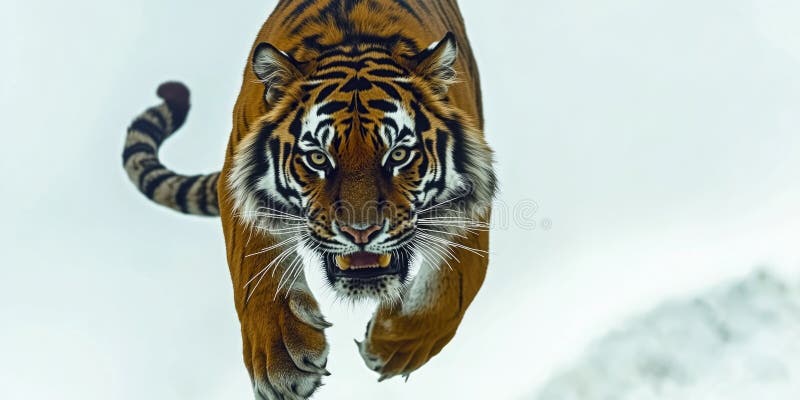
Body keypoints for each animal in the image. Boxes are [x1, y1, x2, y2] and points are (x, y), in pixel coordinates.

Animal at [122, 0, 496, 398]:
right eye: (318, 157)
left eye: (398, 154)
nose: (361, 232)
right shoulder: (237, 179)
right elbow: (254, 264)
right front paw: (281, 359)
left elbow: (459, 281)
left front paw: (393, 344)